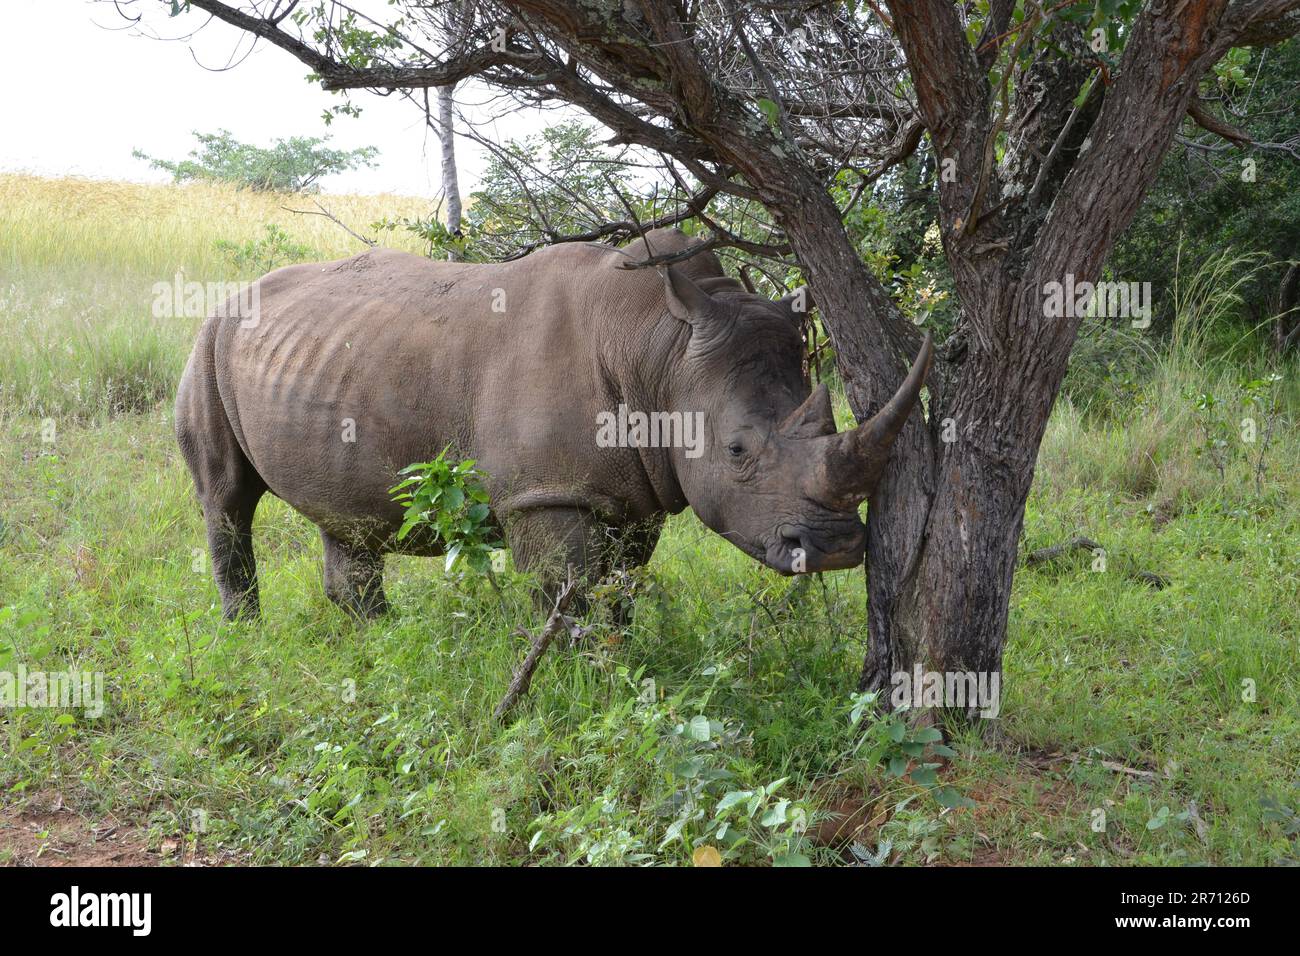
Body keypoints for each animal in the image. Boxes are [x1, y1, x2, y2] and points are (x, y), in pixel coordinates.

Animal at [175, 228, 932, 620]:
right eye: (738, 449)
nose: (836, 548)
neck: (660, 349)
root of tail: (236, 297)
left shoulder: (633, 490)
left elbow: (619, 587)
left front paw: (621, 660)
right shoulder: (547, 493)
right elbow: (564, 592)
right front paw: (581, 683)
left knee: (347, 514)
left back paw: (373, 638)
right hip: (208, 341)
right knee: (226, 498)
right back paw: (248, 634)